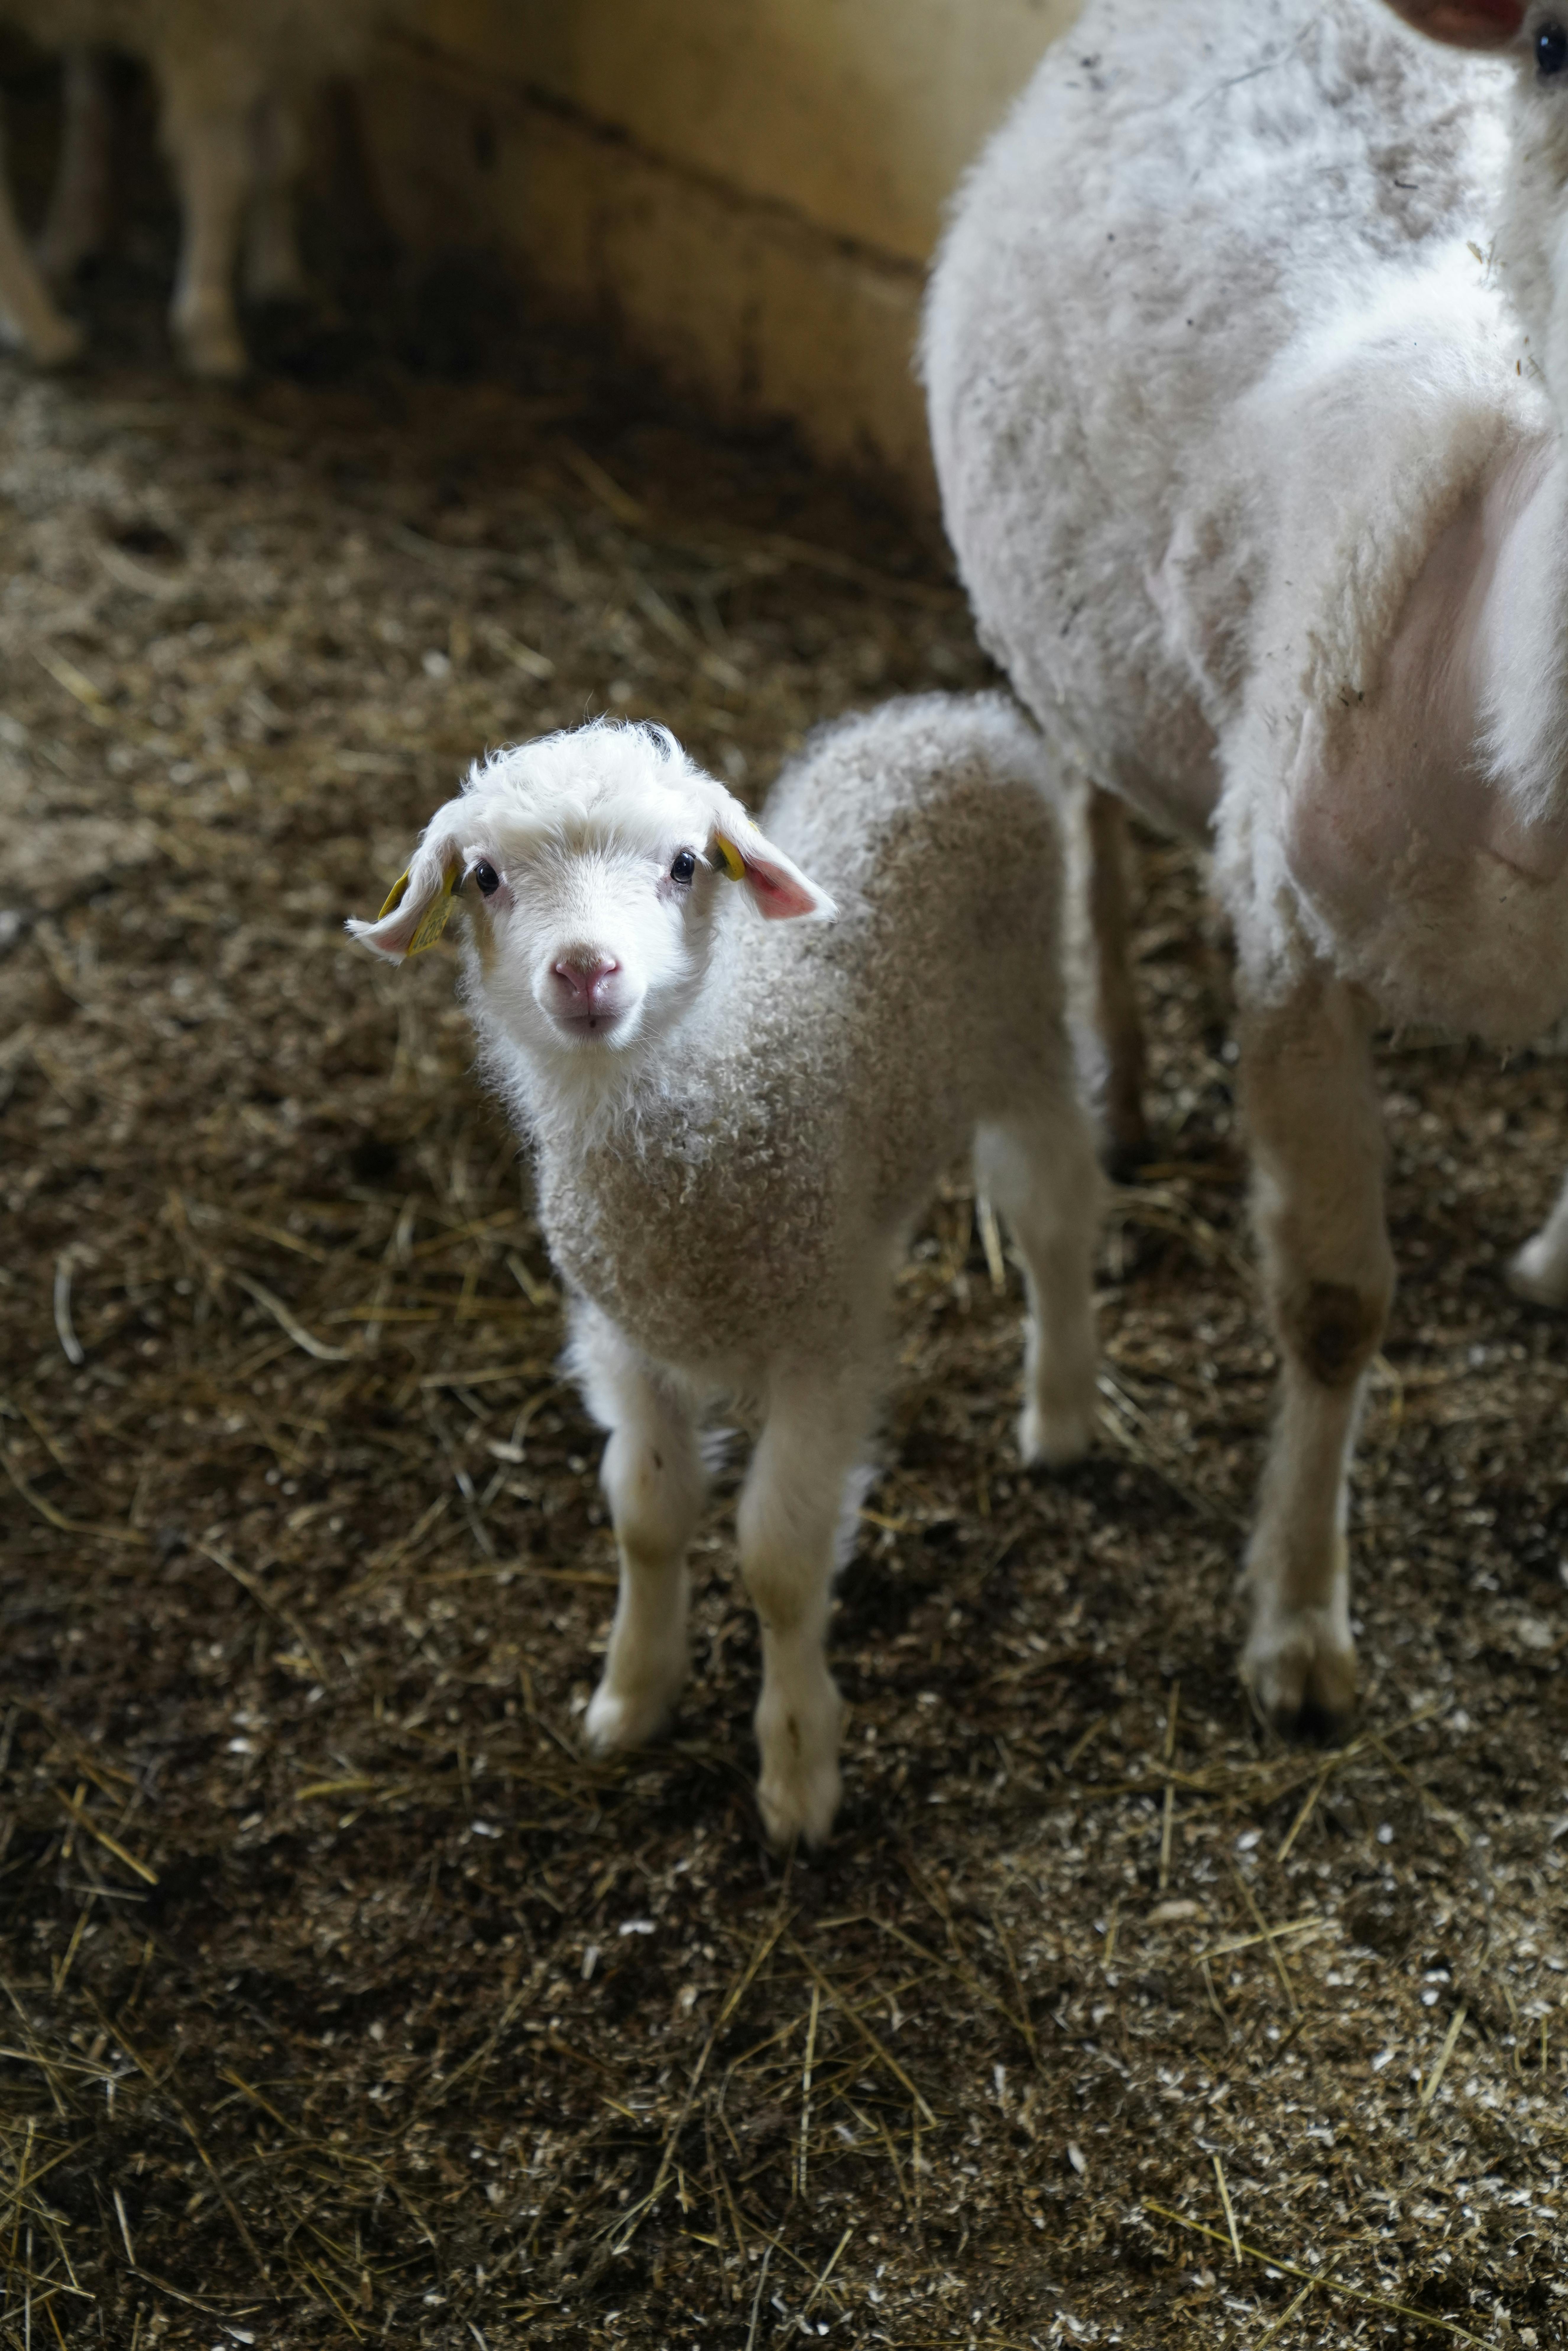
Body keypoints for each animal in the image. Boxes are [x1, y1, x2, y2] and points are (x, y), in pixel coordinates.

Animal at [0, 2, 394, 378]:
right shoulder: (213, 26)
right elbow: (222, 175)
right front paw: (208, 323)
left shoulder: (275, 31)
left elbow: (281, 154)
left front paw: (276, 273)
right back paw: (44, 332)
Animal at [348, 697, 1103, 1846]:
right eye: (483, 876)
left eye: (684, 864)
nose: (586, 971)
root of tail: (946, 717)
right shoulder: (625, 1339)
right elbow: (646, 1516)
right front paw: (631, 1695)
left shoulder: (823, 1342)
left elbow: (780, 1563)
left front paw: (796, 1769)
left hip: (1027, 1030)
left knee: (1053, 1217)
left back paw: (1059, 1417)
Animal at [922, 0, 1568, 1732]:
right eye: (1550, 48)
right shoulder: (1289, 933)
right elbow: (1332, 1304)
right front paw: (1294, 1630)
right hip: (1061, 620)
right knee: (1082, 798)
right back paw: (1117, 1079)